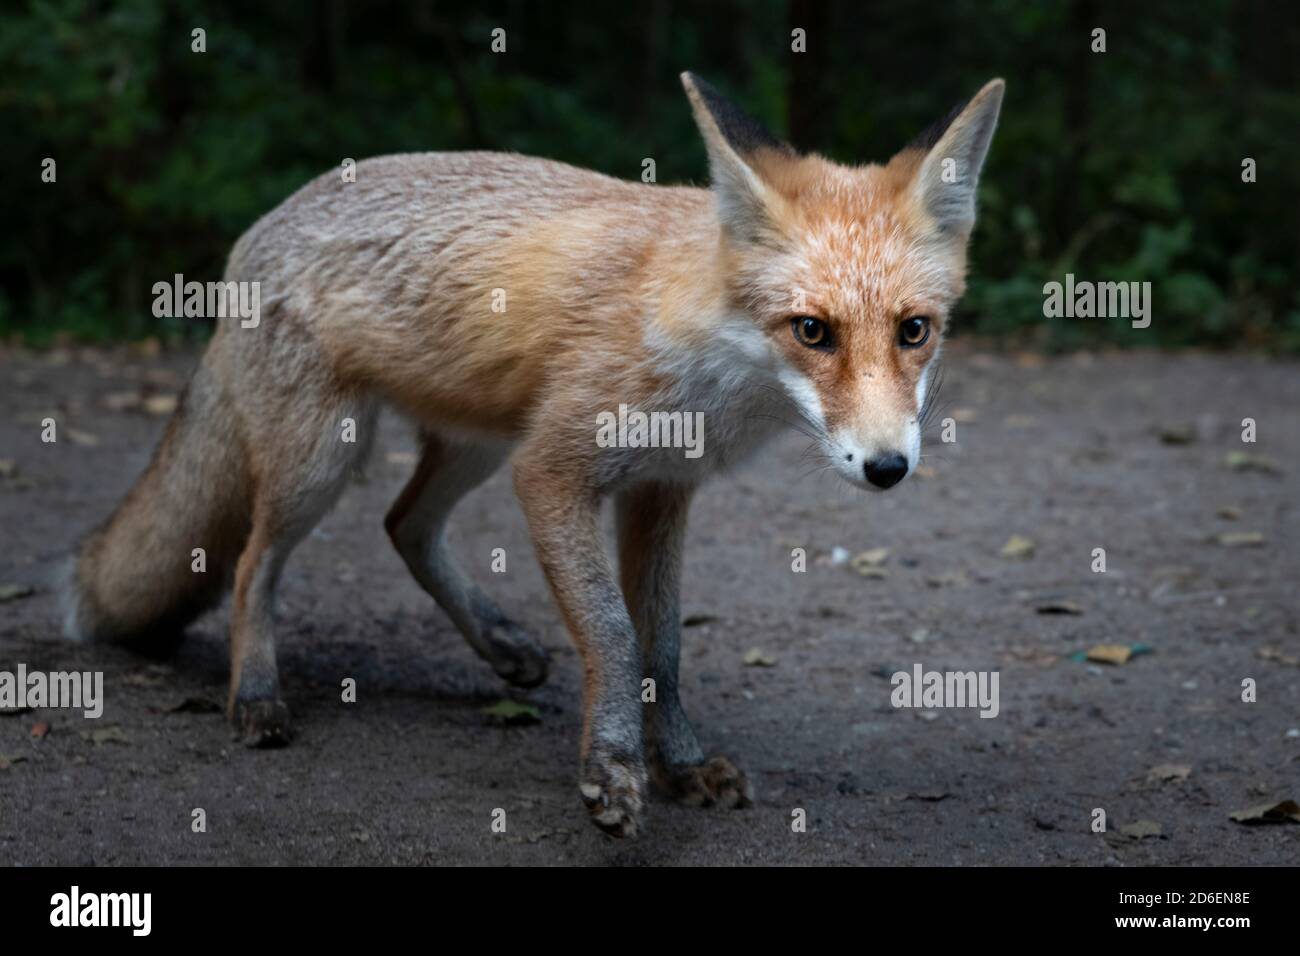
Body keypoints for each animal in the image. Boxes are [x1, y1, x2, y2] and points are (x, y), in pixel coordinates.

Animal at [64, 73, 1004, 837]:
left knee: (404, 526)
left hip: (474, 447)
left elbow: (664, 647)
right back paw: (256, 694)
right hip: (323, 458)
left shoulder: (663, 489)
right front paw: (614, 771)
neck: (710, 369)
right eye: (813, 331)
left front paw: (680, 765)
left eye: (914, 331)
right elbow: (615, 634)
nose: (887, 467)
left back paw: (498, 643)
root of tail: (253, 231)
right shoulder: (554, 469)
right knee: (254, 563)